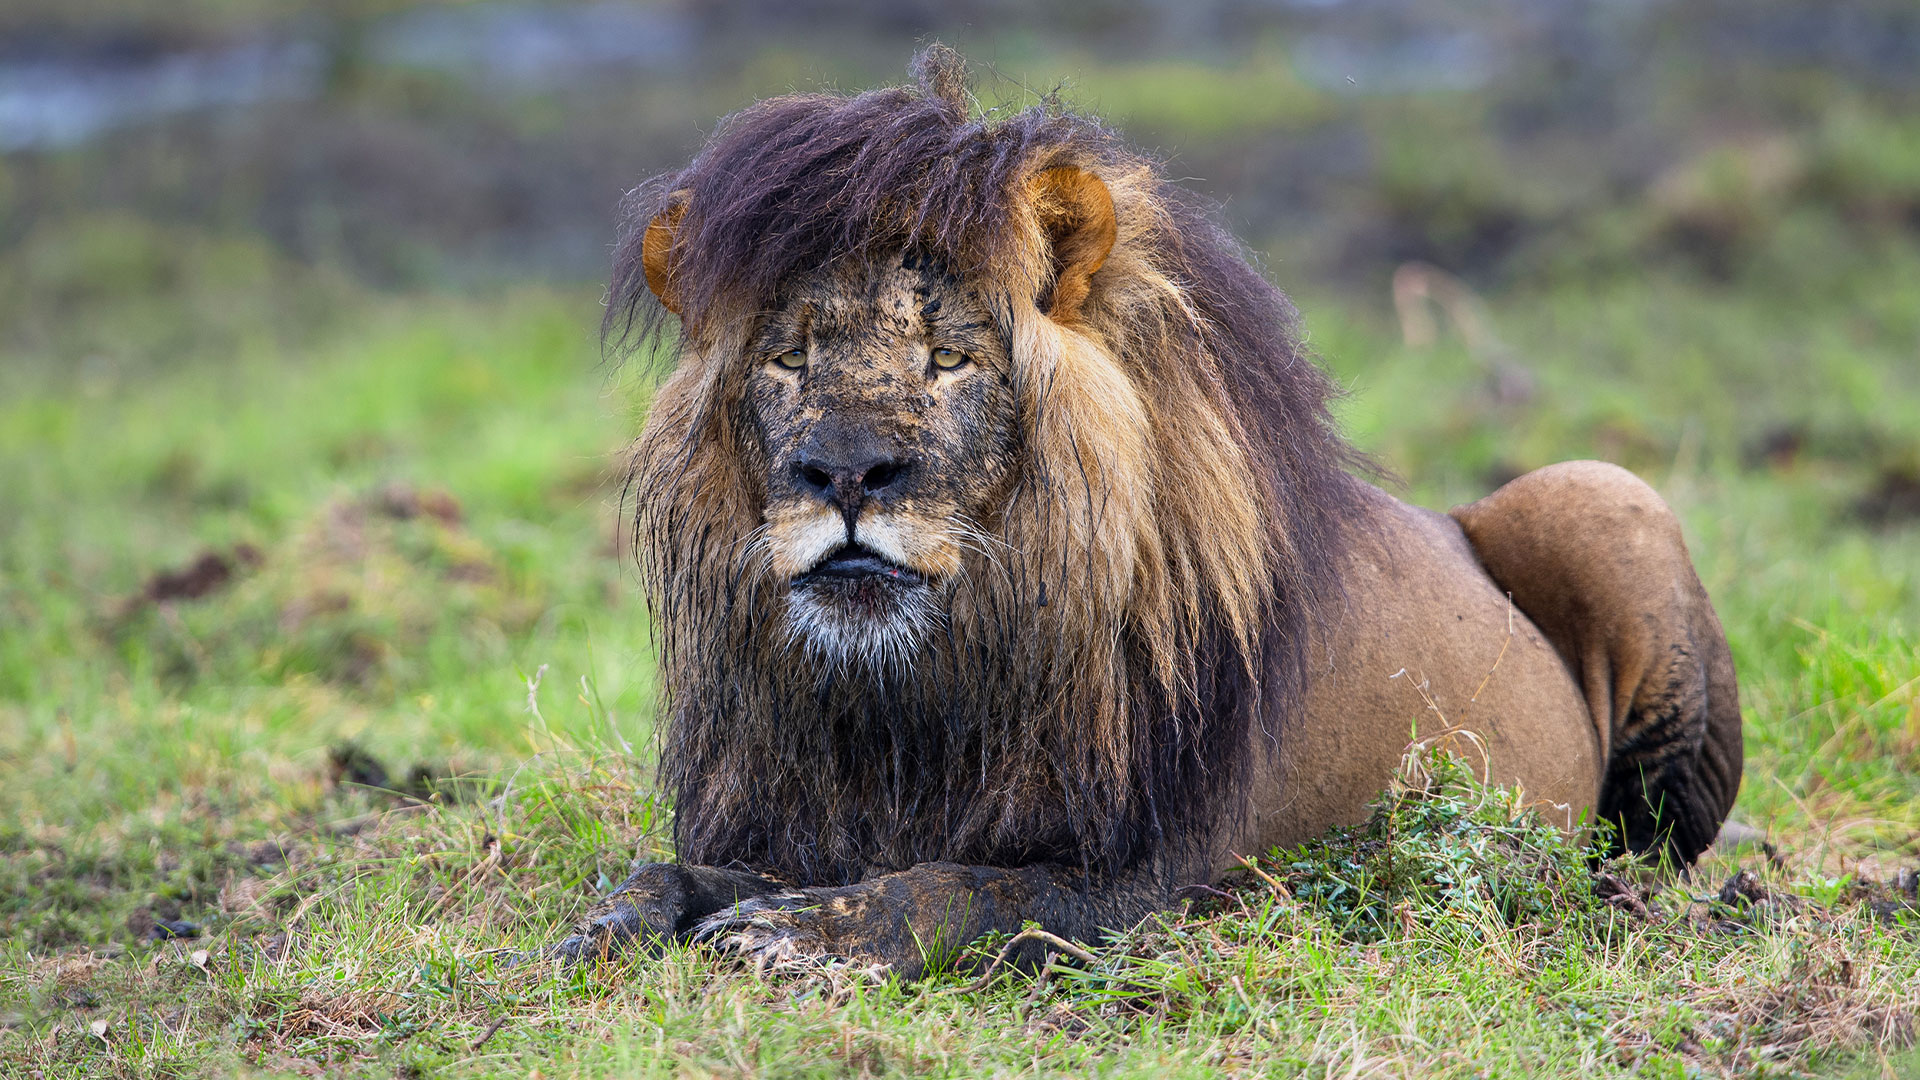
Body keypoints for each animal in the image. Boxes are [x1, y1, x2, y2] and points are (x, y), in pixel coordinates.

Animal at [548, 47, 1743, 978]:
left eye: (949, 358)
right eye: (788, 359)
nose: (845, 473)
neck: (914, 696)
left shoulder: (1160, 879)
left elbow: (959, 888)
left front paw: (803, 935)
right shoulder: (787, 820)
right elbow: (665, 870)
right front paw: (599, 928)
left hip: (1605, 494)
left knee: (1649, 850)